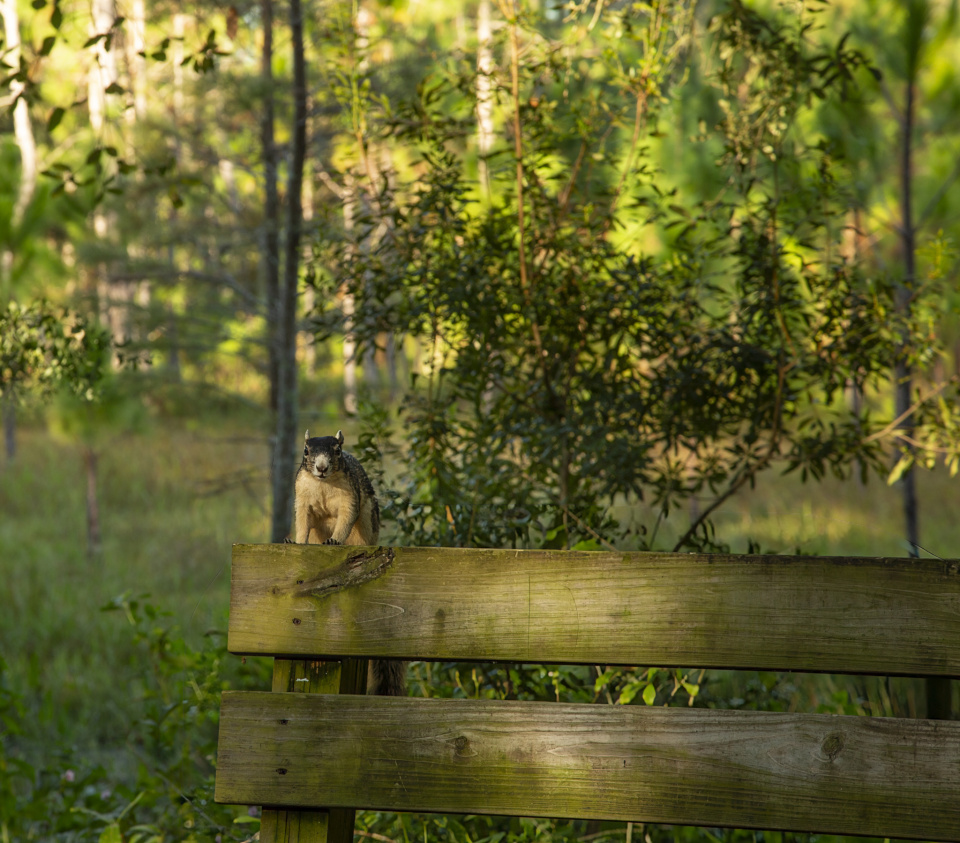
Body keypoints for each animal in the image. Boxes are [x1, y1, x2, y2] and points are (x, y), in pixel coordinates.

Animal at [293, 429, 405, 697]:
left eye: (338, 451)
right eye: (306, 451)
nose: (322, 467)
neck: (323, 483)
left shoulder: (349, 498)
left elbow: (345, 518)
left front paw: (335, 540)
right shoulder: (302, 497)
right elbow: (302, 522)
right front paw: (294, 540)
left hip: (366, 521)